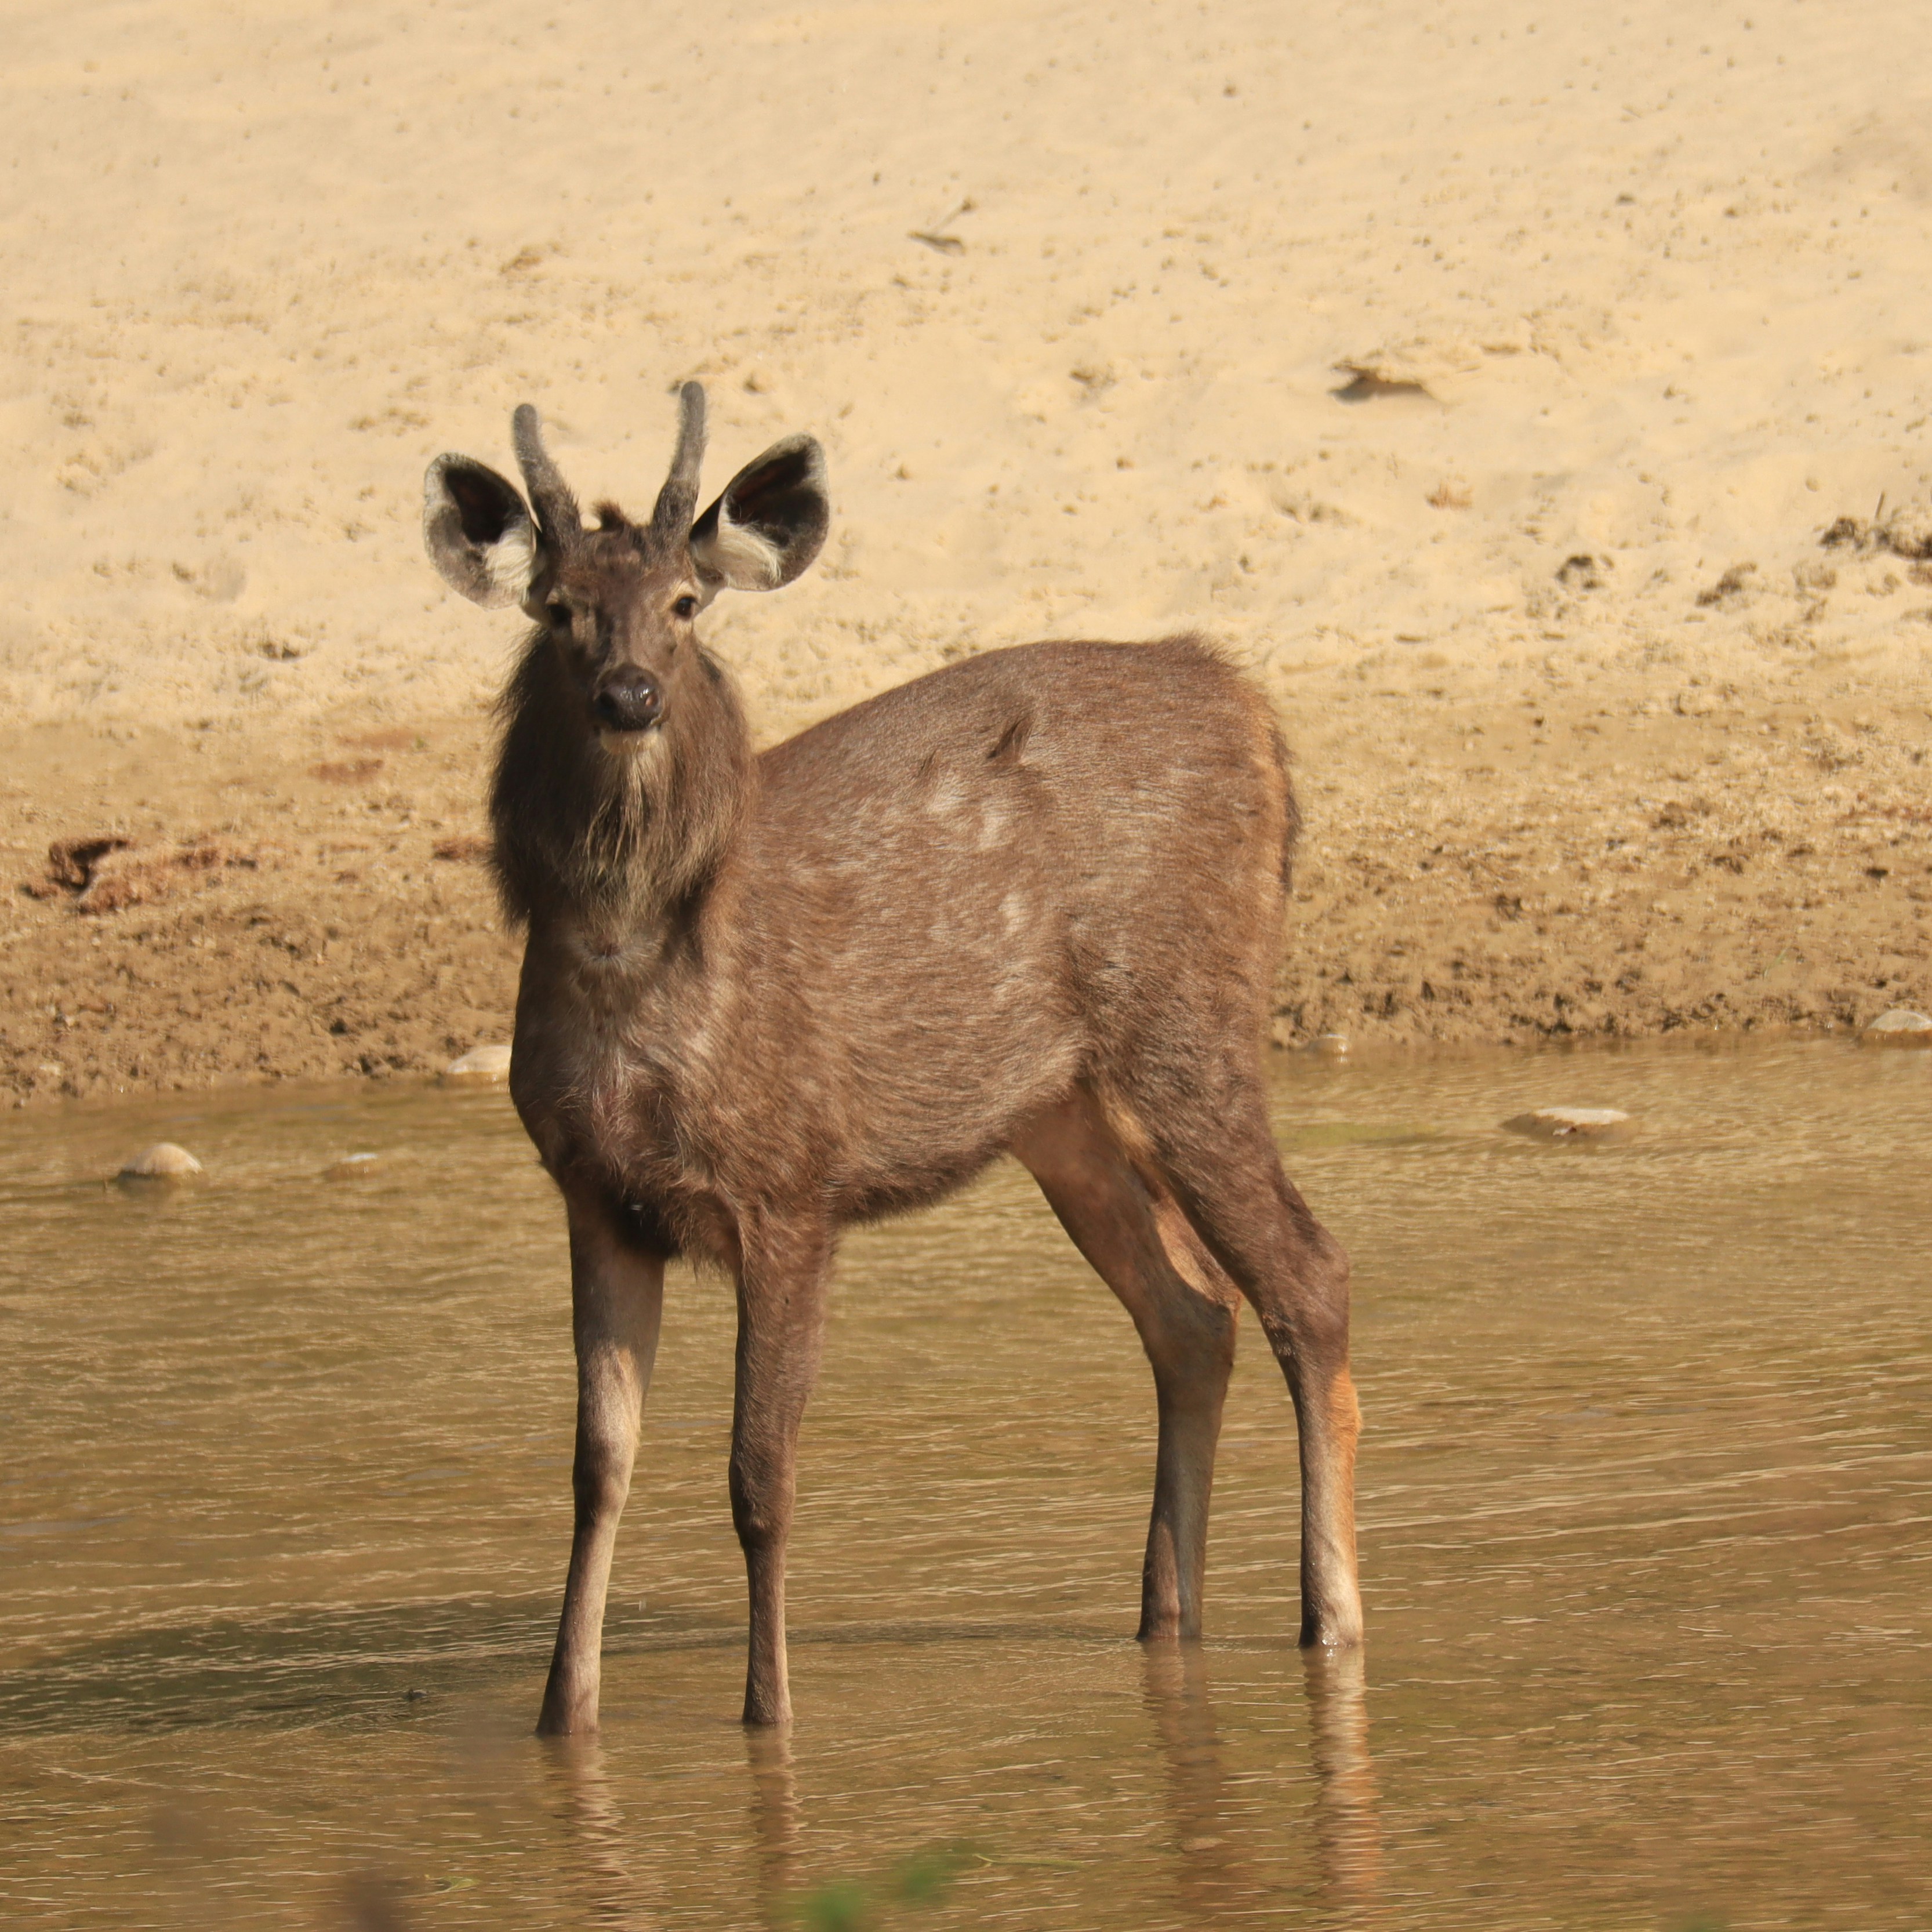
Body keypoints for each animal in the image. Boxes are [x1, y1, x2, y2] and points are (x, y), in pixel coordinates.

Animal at [421, 385, 1363, 1735]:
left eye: (686, 603)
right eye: (555, 609)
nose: (629, 694)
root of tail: (1247, 703)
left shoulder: (788, 1181)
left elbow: (758, 1473)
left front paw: (769, 1716)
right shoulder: (594, 1193)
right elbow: (598, 1470)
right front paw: (563, 1716)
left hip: (1190, 1028)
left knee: (1308, 1278)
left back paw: (1329, 1621)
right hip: (1063, 1110)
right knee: (1193, 1313)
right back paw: (1162, 1621)